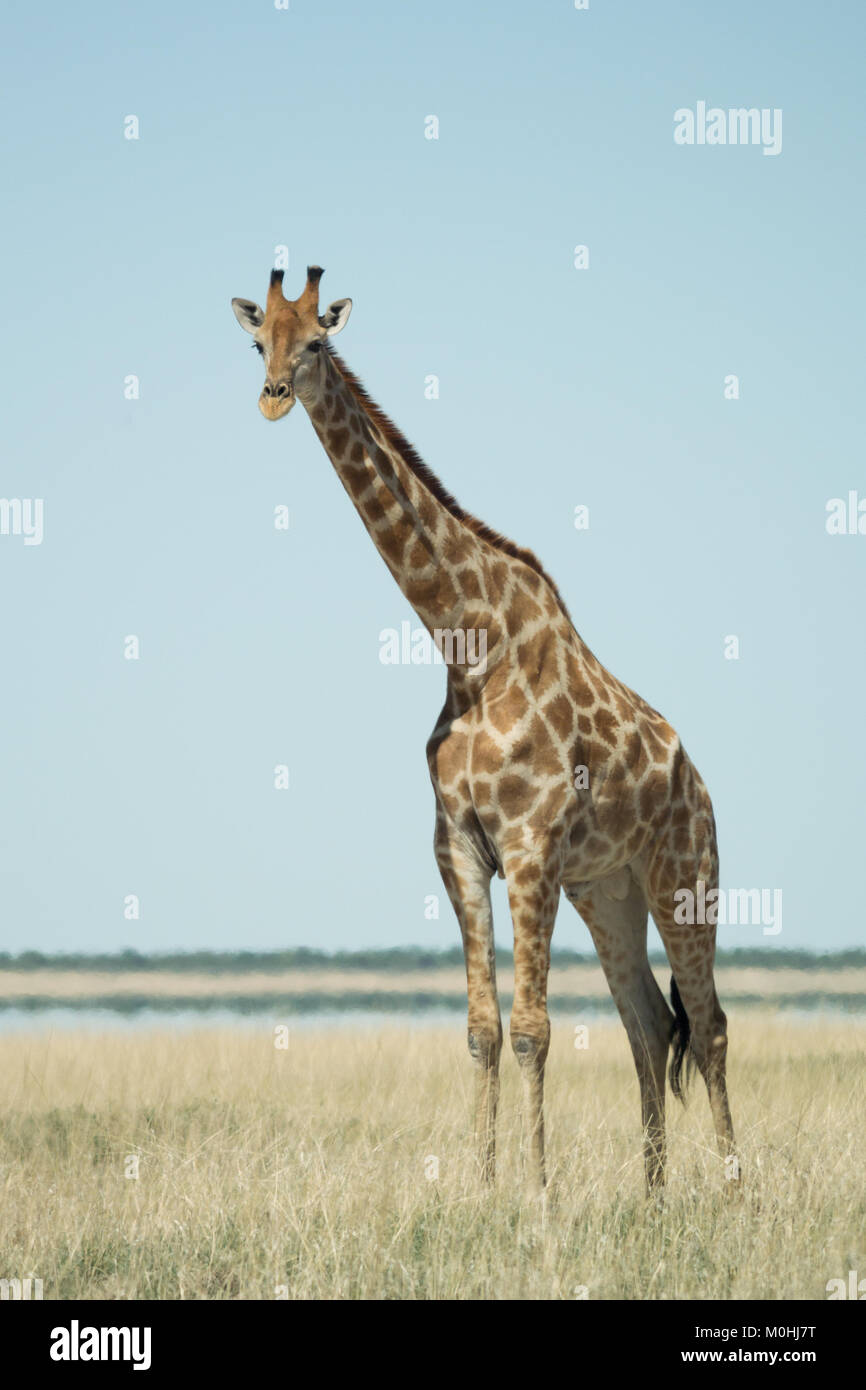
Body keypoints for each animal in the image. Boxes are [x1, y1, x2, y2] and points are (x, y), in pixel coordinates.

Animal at [231, 265, 737, 1195]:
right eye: (259, 344)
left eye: (315, 342)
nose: (274, 398)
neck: (469, 642)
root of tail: (699, 782)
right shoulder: (460, 849)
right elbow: (482, 1028)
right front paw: (483, 1185)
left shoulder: (530, 846)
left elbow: (534, 1028)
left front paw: (535, 1193)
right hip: (608, 889)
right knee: (649, 1021)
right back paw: (653, 1198)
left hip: (686, 872)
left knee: (709, 1021)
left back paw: (733, 1190)